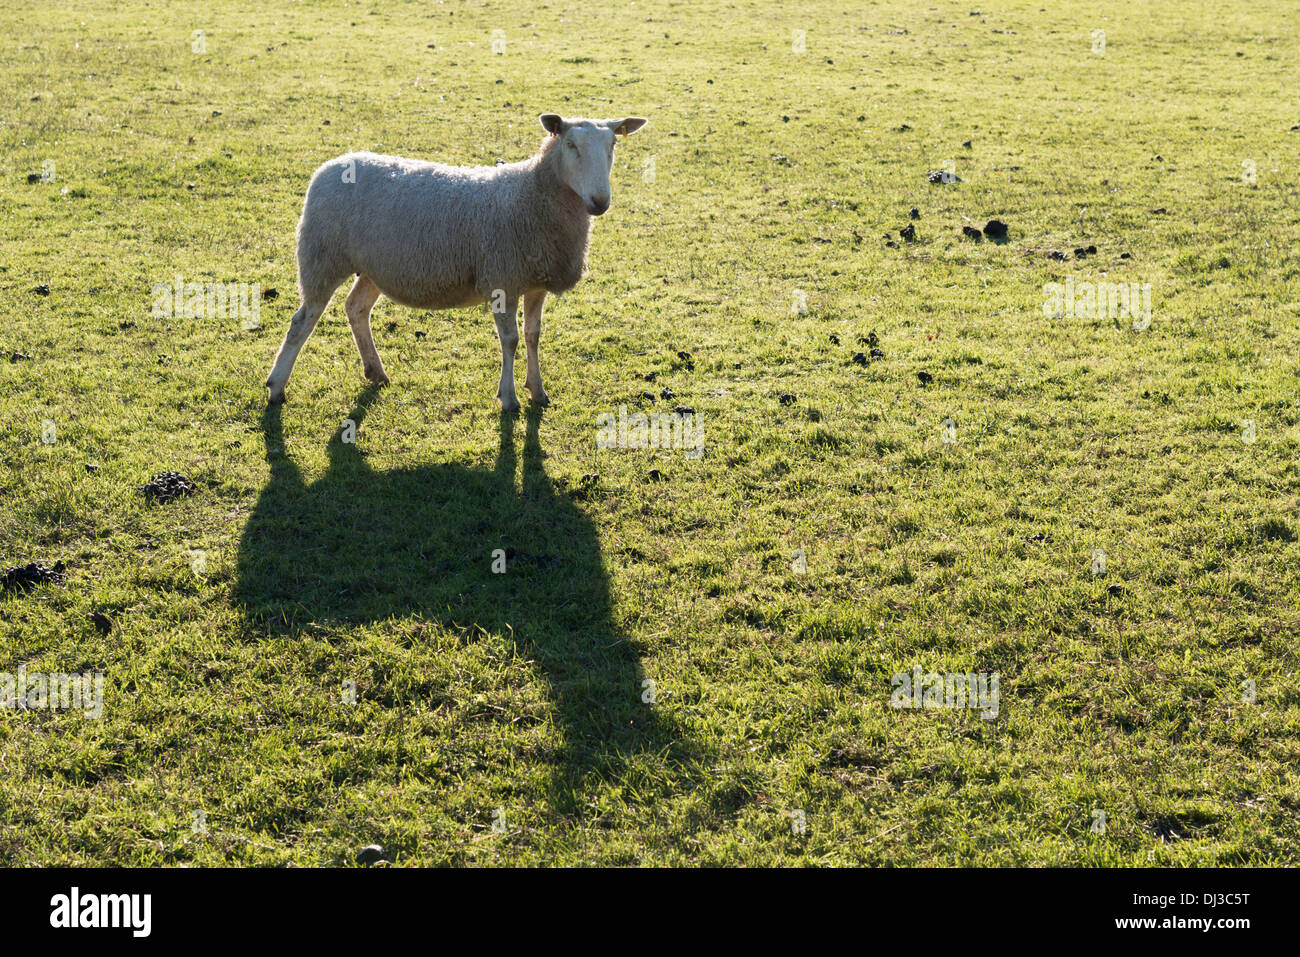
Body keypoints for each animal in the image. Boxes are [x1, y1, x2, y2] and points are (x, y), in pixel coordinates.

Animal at [265, 113, 648, 410]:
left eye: (613, 145)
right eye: (570, 145)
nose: (600, 202)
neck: (531, 192)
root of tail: (332, 164)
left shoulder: (536, 282)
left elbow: (533, 335)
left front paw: (538, 391)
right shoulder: (501, 277)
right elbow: (510, 340)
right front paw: (508, 398)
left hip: (374, 268)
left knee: (356, 308)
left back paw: (376, 372)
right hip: (322, 256)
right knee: (302, 321)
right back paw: (276, 387)